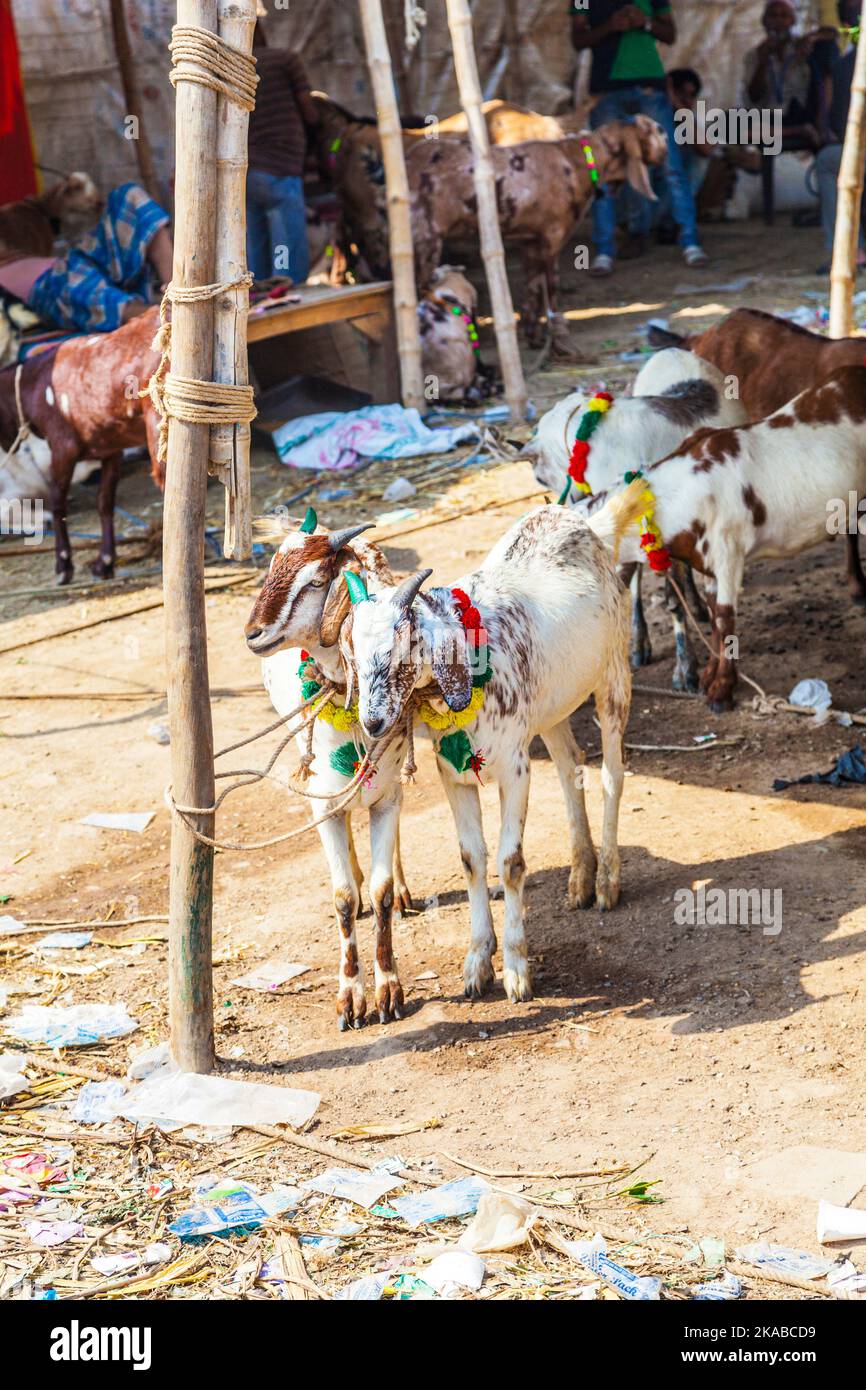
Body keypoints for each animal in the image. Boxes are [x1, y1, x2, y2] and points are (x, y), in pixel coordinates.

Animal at [0, 307, 161, 584]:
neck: (33, 383)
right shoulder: (110, 449)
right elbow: (104, 503)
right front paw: (104, 563)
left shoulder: (62, 447)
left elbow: (57, 503)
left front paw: (63, 566)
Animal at [244, 511, 413, 1030]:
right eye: (270, 567)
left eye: (317, 581)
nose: (253, 632)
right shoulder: (322, 805)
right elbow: (341, 898)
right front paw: (350, 998)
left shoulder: (387, 795)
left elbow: (380, 892)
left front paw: (388, 990)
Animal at [343, 483, 647, 1004]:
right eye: (355, 656)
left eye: (403, 650)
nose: (374, 721)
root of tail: (588, 524)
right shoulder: (453, 776)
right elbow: (471, 859)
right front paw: (477, 963)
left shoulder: (514, 769)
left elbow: (510, 863)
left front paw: (517, 969)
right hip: (551, 707)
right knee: (570, 767)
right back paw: (581, 876)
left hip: (613, 675)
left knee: (611, 772)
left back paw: (607, 879)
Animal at [588, 364, 866, 711]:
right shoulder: (706, 559)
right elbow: (714, 615)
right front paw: (709, 675)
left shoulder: (729, 552)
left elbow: (724, 616)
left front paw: (721, 689)